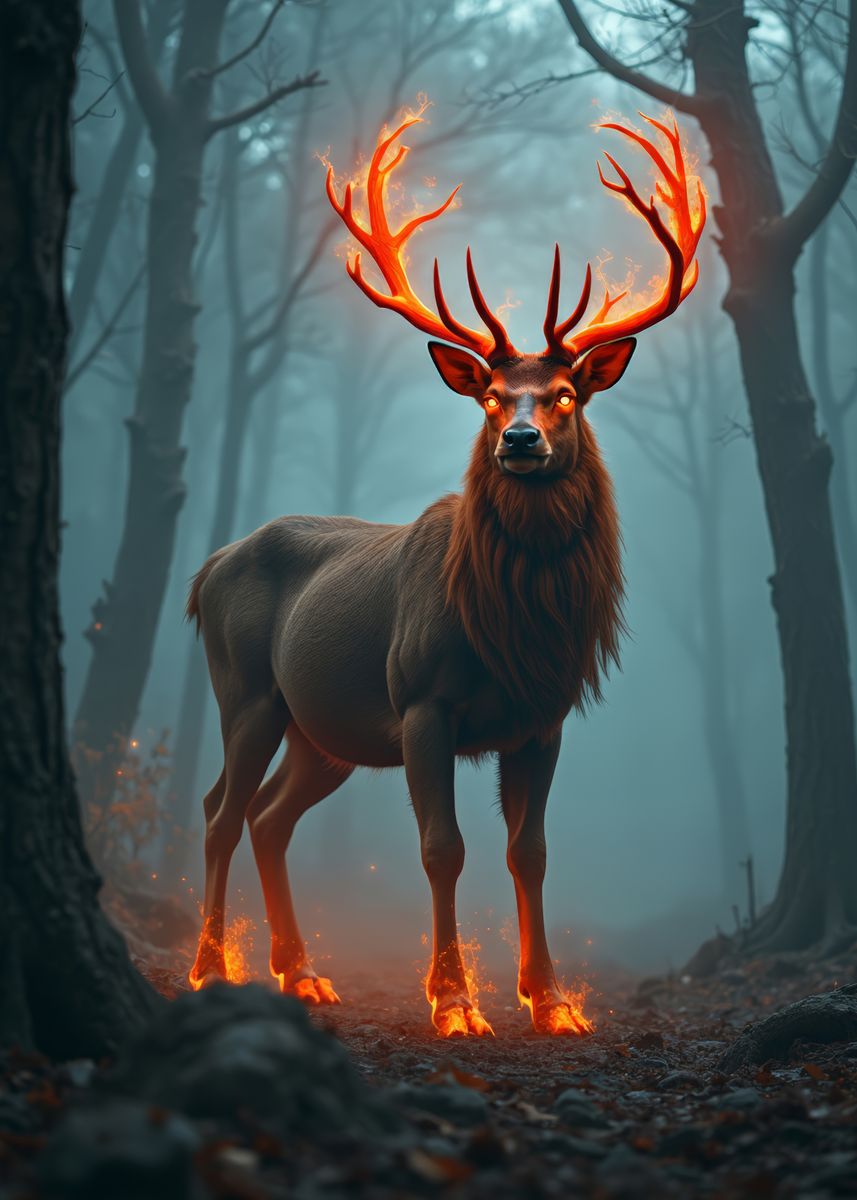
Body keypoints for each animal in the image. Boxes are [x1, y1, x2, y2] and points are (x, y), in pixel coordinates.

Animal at [188, 103, 705, 1036]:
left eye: (565, 395)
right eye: (492, 397)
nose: (520, 439)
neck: (512, 627)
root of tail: (205, 569)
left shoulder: (544, 717)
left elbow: (529, 850)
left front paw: (550, 1002)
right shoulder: (423, 700)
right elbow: (442, 848)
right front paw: (456, 1002)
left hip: (326, 729)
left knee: (270, 818)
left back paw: (303, 974)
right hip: (245, 687)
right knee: (219, 811)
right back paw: (212, 968)